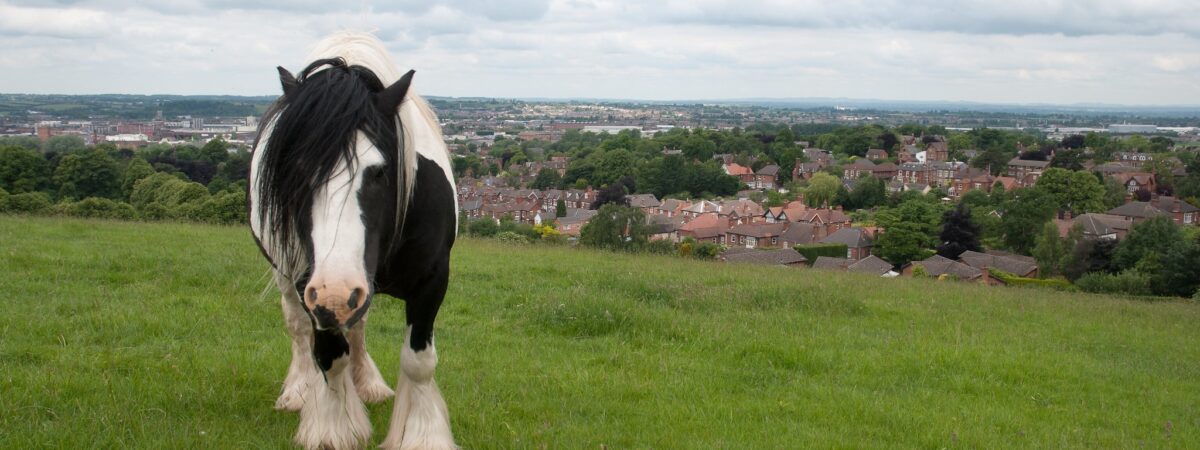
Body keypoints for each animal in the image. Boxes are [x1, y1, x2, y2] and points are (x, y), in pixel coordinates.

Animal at [248, 32, 458, 450]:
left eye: (378, 171)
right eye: (294, 170)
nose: (336, 293)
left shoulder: (432, 279)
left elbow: (418, 362)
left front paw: (422, 434)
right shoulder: (312, 285)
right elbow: (330, 355)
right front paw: (333, 428)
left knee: (357, 329)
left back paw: (369, 385)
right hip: (292, 278)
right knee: (299, 329)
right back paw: (299, 391)